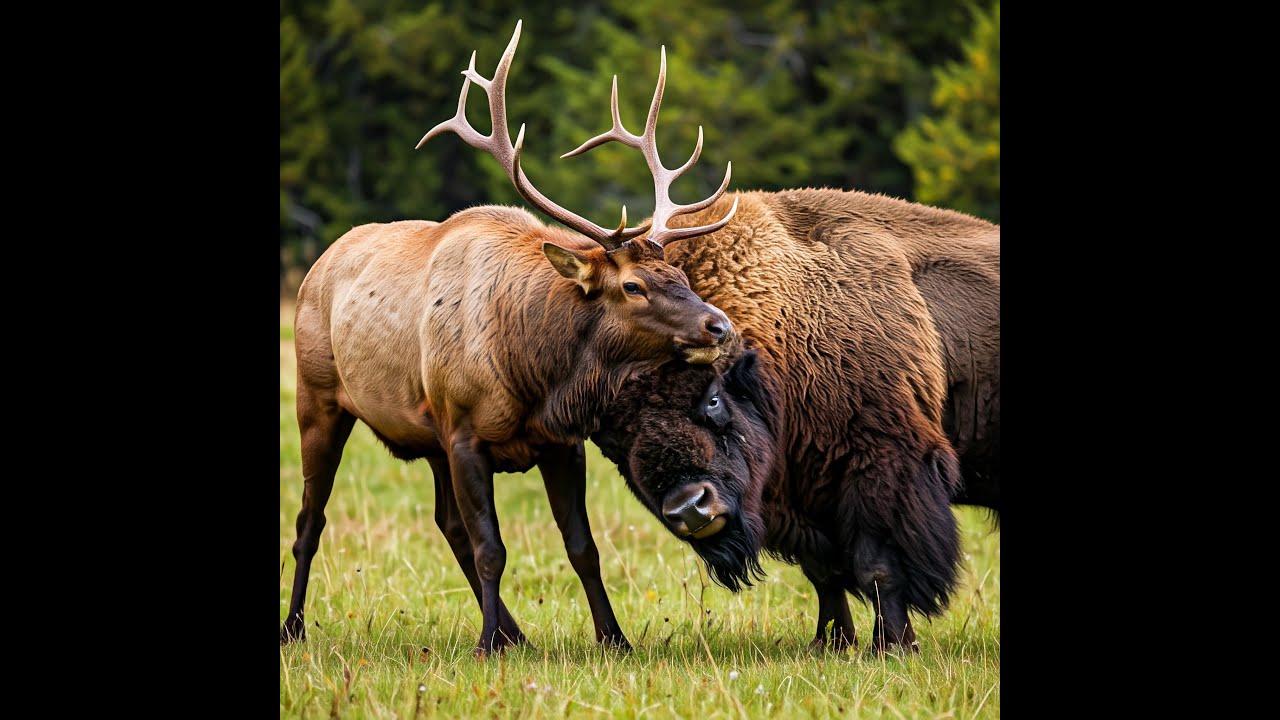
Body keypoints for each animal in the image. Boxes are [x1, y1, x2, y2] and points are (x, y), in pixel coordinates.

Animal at [280, 20, 740, 656]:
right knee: (310, 519)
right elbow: (492, 548)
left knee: (446, 524)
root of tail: (317, 265)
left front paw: (613, 638)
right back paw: (294, 626)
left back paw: (514, 632)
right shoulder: (465, 434)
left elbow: (582, 549)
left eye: (682, 276)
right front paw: (484, 644)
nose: (719, 325)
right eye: (633, 285)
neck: (535, 375)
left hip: (427, 434)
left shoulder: (559, 443)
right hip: (318, 398)